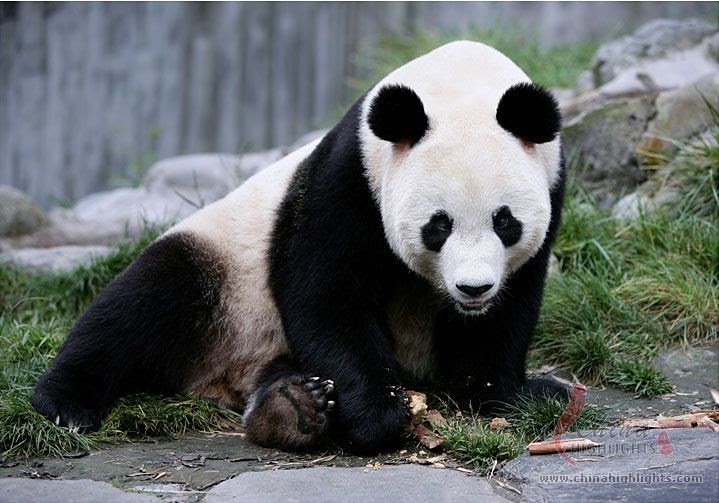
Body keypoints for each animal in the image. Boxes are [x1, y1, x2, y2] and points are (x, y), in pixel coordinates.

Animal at [32, 40, 567, 454]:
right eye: (438, 226)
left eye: (505, 223)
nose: (473, 288)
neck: (461, 81)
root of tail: (226, 376)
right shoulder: (351, 177)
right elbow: (326, 293)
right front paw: (379, 416)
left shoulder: (551, 184)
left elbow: (508, 308)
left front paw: (499, 395)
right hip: (224, 269)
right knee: (145, 302)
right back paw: (65, 403)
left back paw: (291, 406)